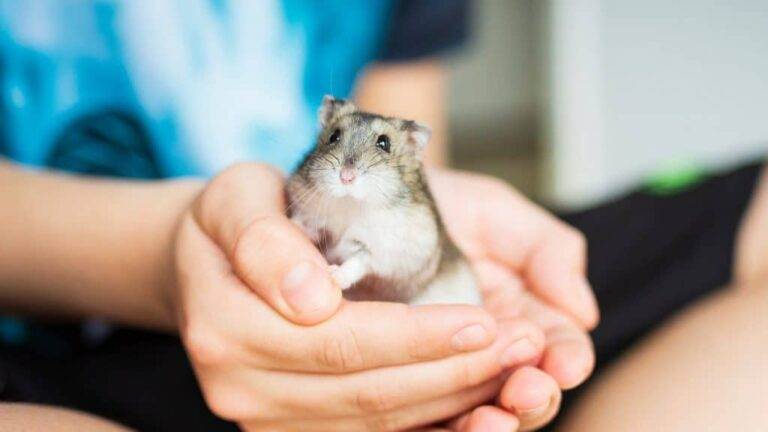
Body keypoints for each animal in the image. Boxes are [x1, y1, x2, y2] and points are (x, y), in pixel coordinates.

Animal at [286, 96, 481, 305]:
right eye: (333, 136)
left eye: (384, 143)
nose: (346, 177)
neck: (350, 203)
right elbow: (311, 226)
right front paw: (294, 224)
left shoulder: (382, 250)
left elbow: (358, 262)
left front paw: (334, 276)